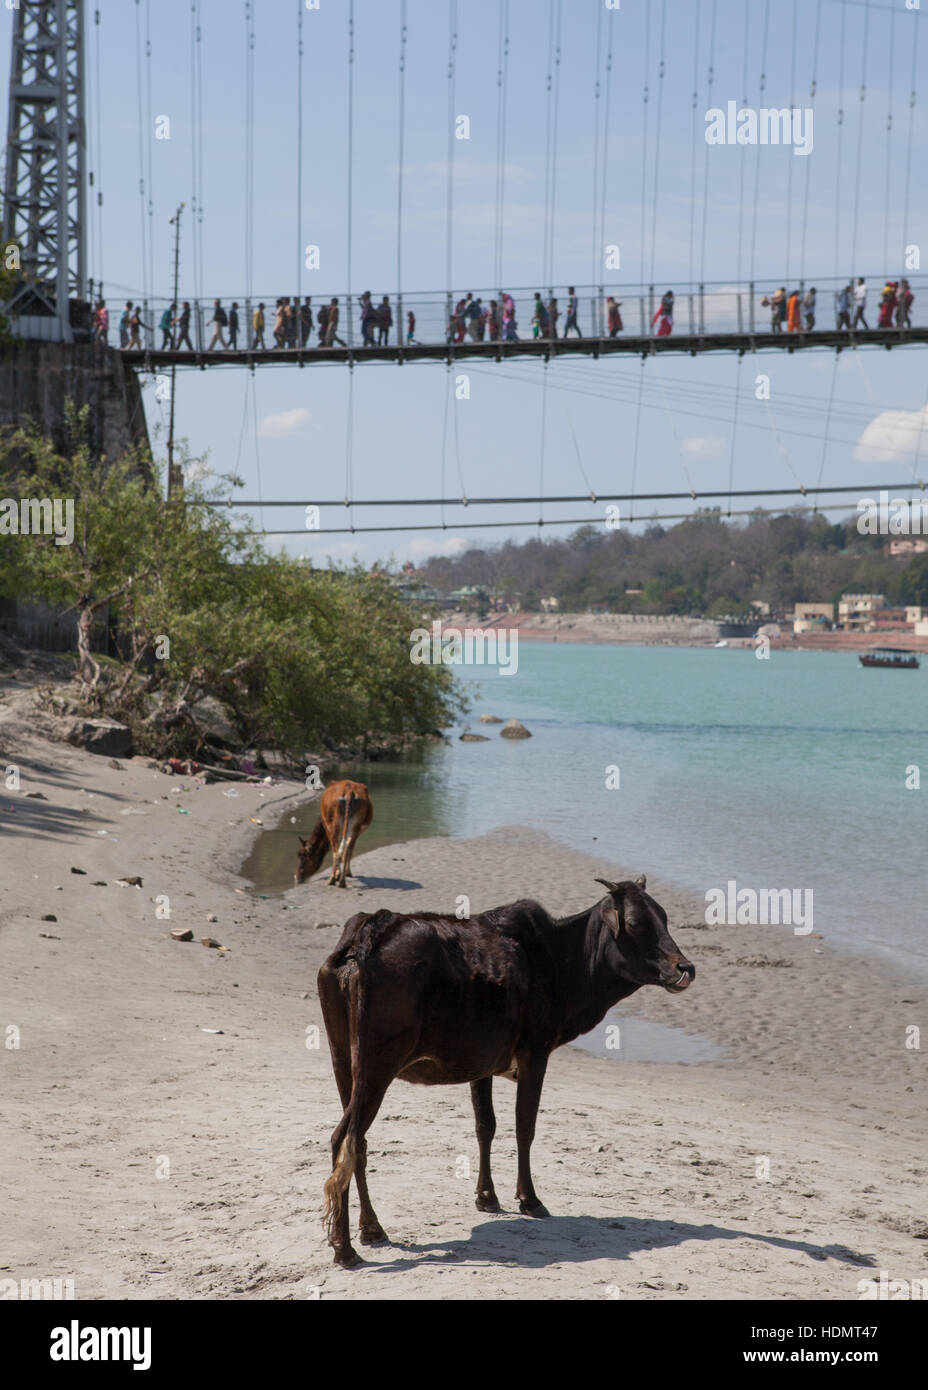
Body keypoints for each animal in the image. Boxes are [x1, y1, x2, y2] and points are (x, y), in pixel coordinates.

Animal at [317, 875, 695, 1265]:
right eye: (635, 923)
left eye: (664, 917)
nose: (685, 968)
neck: (560, 960)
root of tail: (368, 931)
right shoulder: (534, 1054)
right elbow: (524, 1127)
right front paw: (529, 1199)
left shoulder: (480, 1064)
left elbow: (486, 1126)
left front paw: (487, 1197)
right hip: (377, 1065)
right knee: (344, 1139)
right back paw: (344, 1247)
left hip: (343, 1060)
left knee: (357, 1142)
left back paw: (371, 1229)